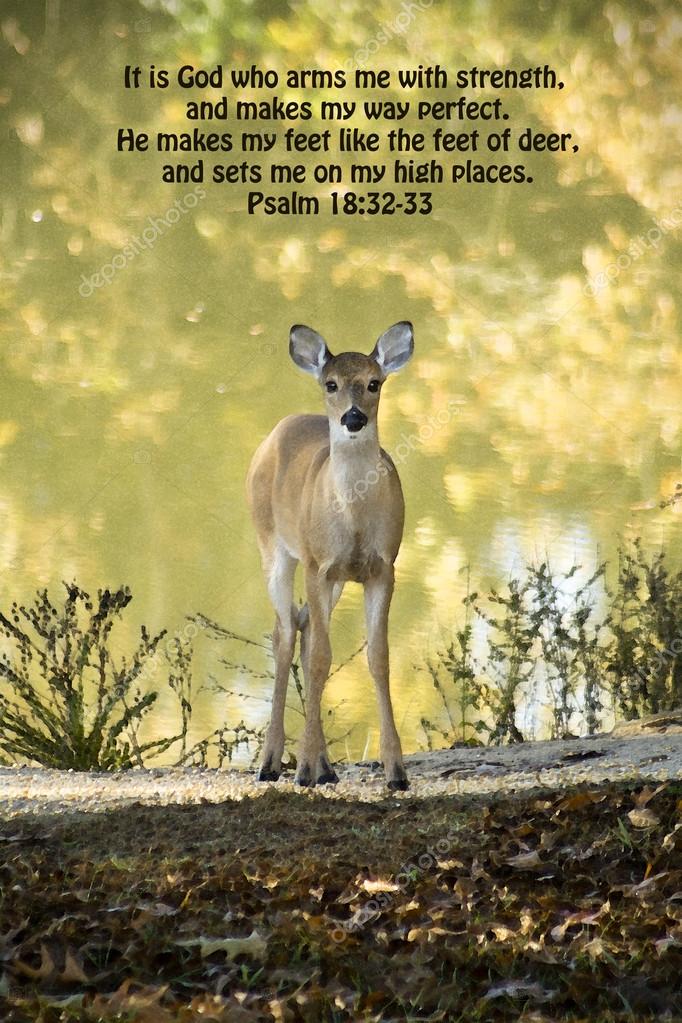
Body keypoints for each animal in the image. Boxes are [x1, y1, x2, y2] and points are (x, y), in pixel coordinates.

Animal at [246, 322, 414, 790]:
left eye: (374, 383)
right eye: (331, 384)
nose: (353, 418)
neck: (354, 517)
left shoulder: (383, 567)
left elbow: (379, 657)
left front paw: (396, 771)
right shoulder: (316, 564)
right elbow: (322, 657)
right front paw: (301, 770)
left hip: (332, 578)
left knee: (303, 629)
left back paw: (325, 766)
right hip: (273, 545)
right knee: (285, 632)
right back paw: (272, 763)